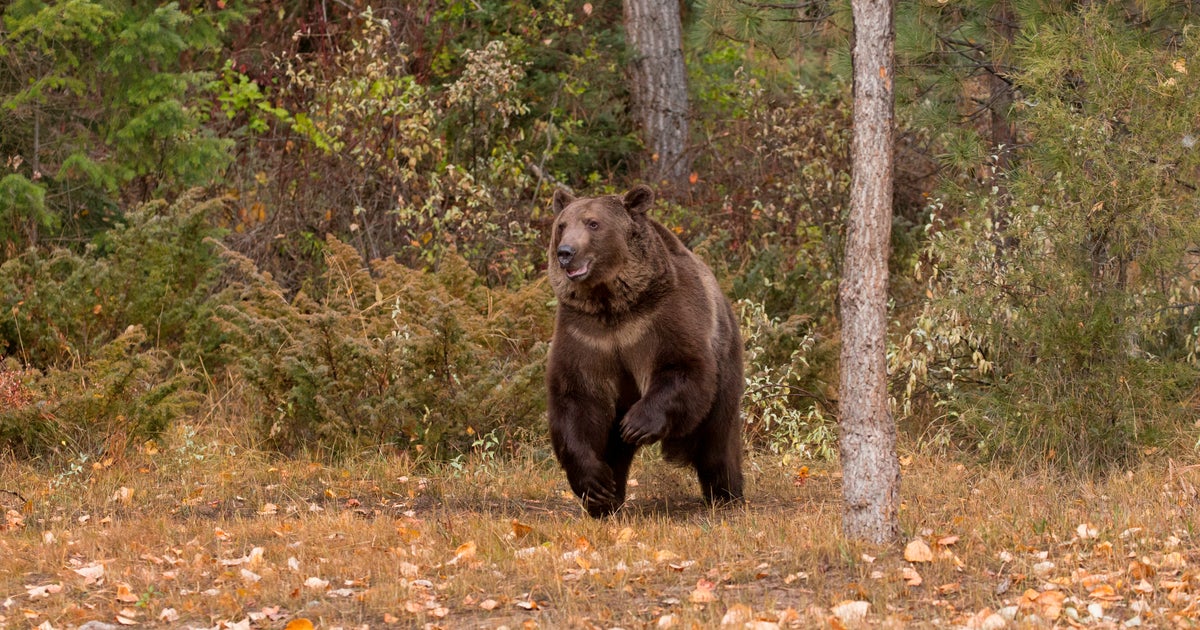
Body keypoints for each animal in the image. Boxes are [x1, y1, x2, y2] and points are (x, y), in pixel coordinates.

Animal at [545, 184, 745, 518]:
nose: (566, 253)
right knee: (614, 448)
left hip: (726, 362)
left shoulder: (662, 317)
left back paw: (727, 494)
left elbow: (683, 368)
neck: (613, 304)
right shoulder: (585, 334)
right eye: (561, 225)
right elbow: (577, 397)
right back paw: (606, 500)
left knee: (718, 442)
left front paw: (636, 425)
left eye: (593, 223)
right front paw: (594, 484)